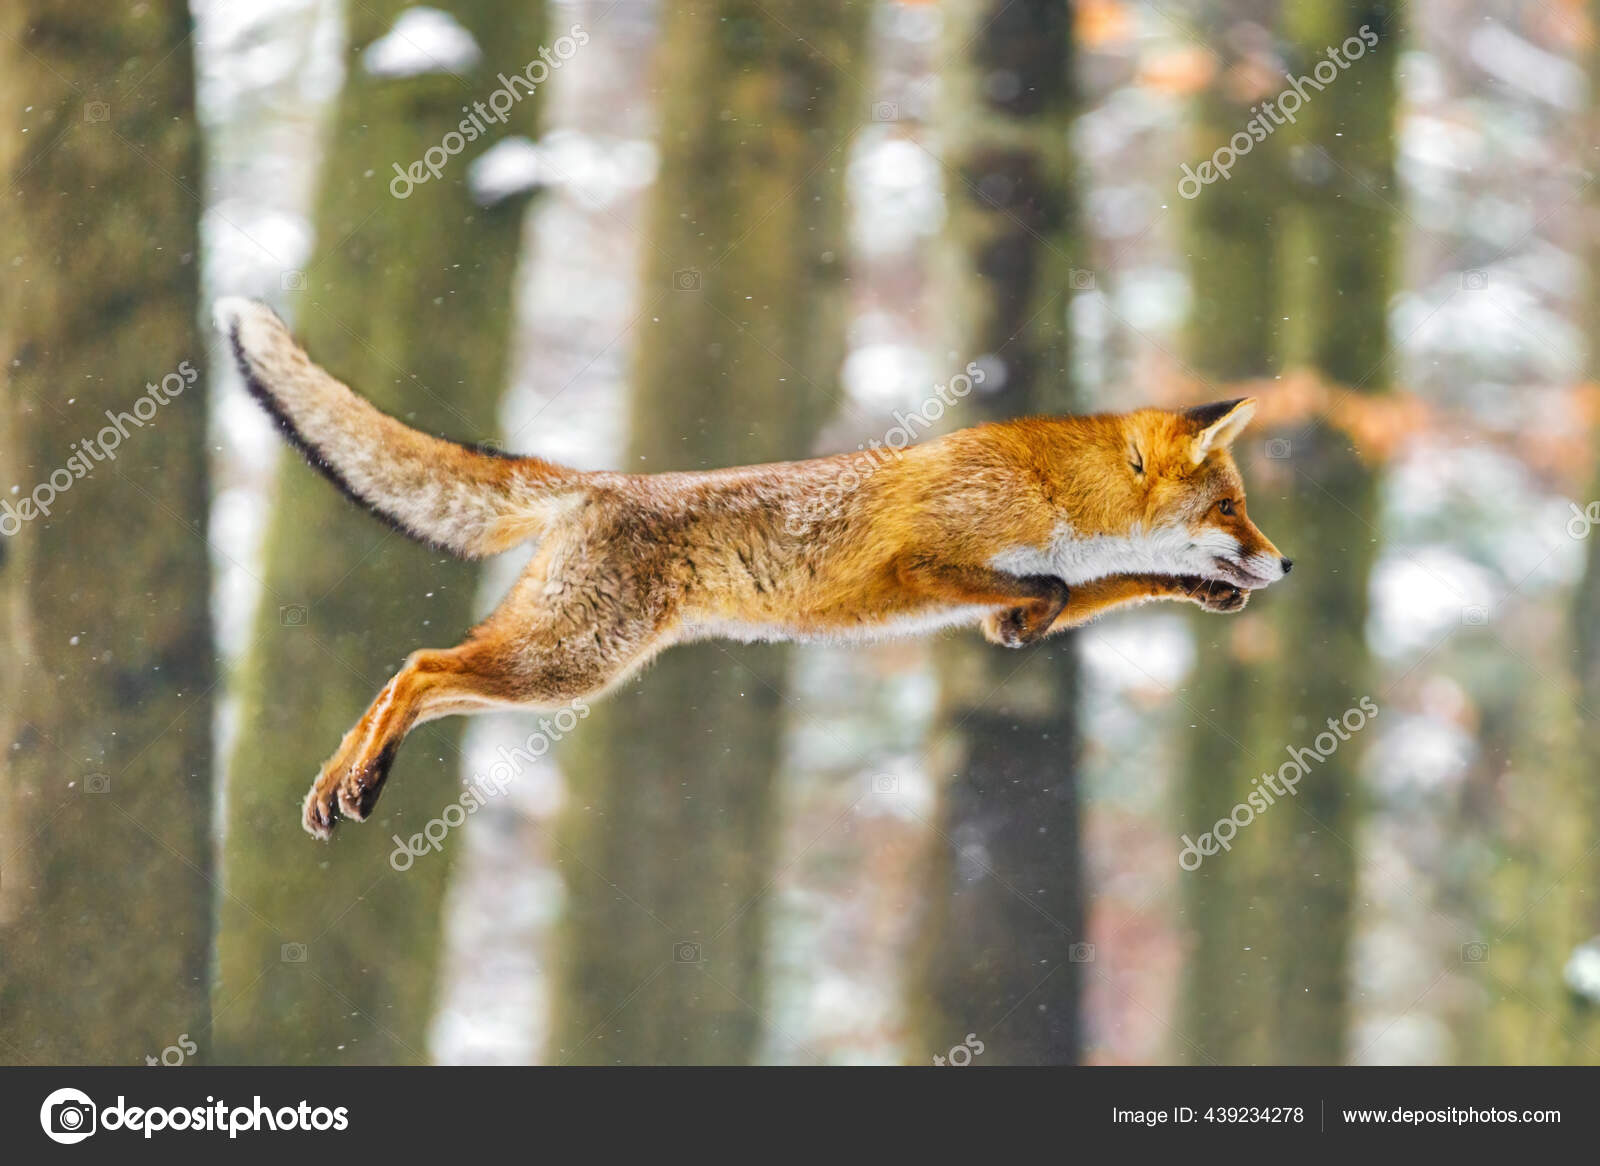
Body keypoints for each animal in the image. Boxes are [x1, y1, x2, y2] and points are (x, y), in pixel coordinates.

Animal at [213, 298, 1291, 839]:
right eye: (1231, 507)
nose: (1284, 562)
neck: (1047, 489)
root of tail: (597, 484)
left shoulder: (1010, 581)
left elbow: (1103, 586)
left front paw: (1200, 590)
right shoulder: (915, 565)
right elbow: (1056, 585)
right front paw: (1042, 610)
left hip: (564, 666)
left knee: (416, 674)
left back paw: (336, 787)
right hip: (565, 663)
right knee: (418, 667)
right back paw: (357, 781)